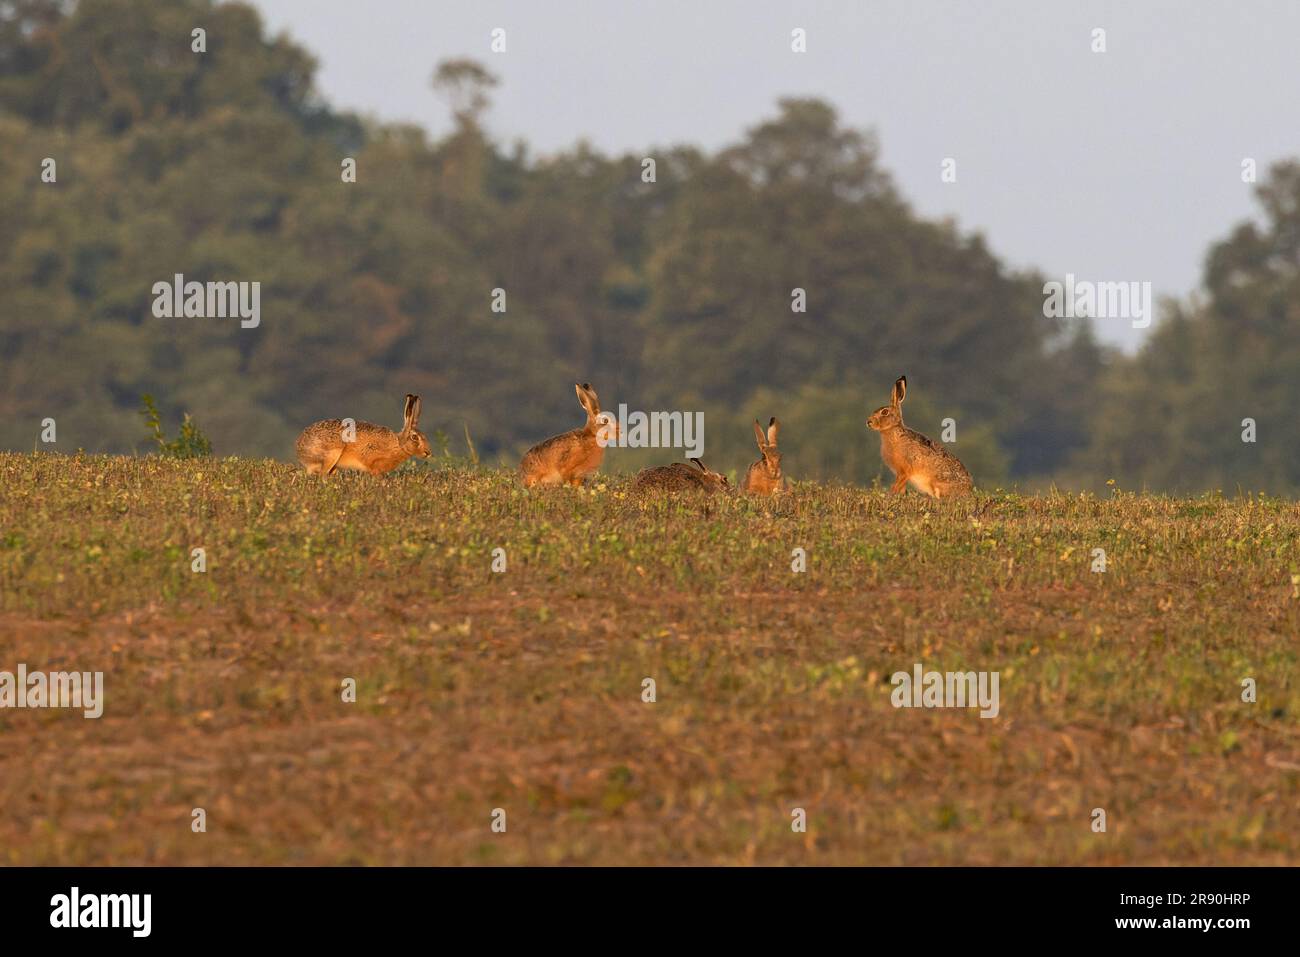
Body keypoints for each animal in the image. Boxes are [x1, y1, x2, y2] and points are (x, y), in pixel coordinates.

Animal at [296, 393, 431, 476]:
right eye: (414, 437)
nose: (428, 452)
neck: (399, 444)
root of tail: (301, 451)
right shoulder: (374, 461)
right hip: (331, 454)